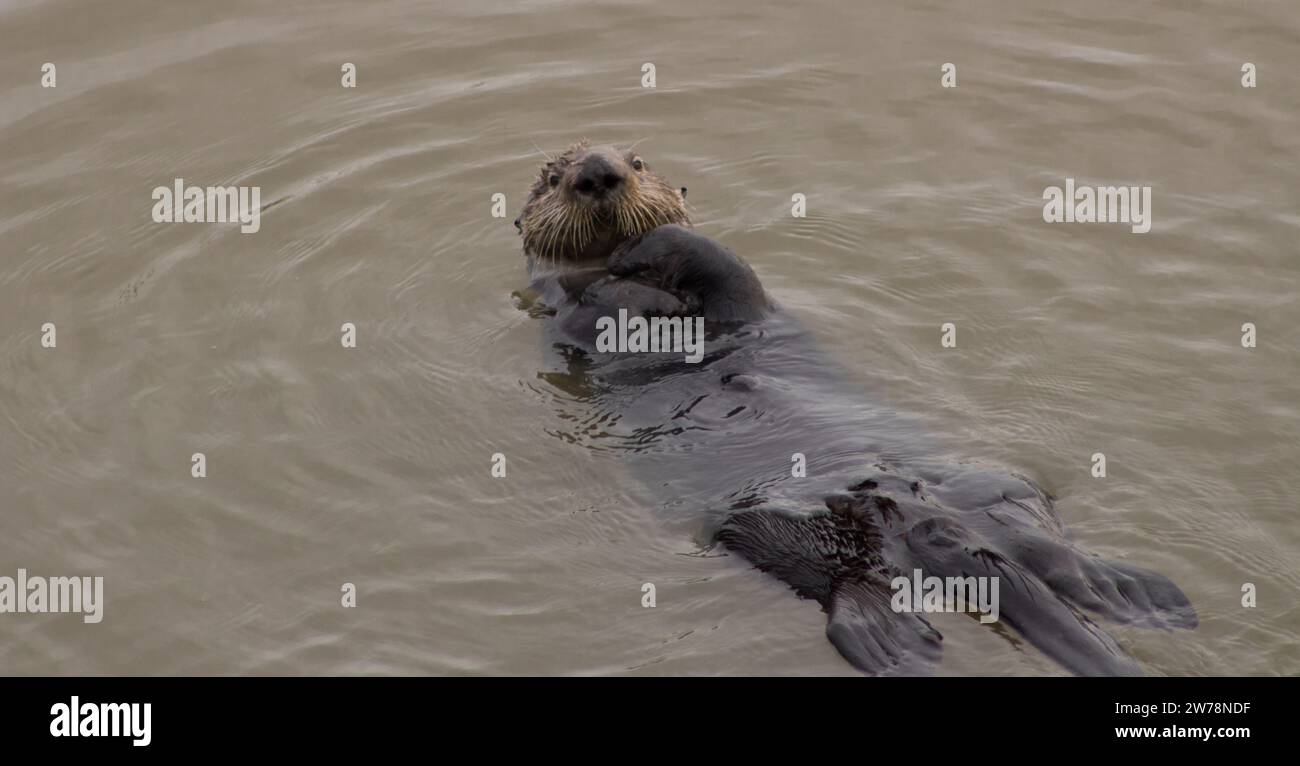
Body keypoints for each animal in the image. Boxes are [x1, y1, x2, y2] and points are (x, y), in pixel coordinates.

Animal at [514, 141, 1197, 676]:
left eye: (636, 161)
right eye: (553, 177)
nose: (598, 173)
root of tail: (921, 521)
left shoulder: (746, 306)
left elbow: (728, 274)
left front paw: (653, 245)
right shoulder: (567, 323)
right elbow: (589, 312)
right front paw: (623, 280)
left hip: (995, 488)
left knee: (1048, 549)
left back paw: (1135, 593)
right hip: (772, 528)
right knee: (853, 582)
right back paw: (898, 647)